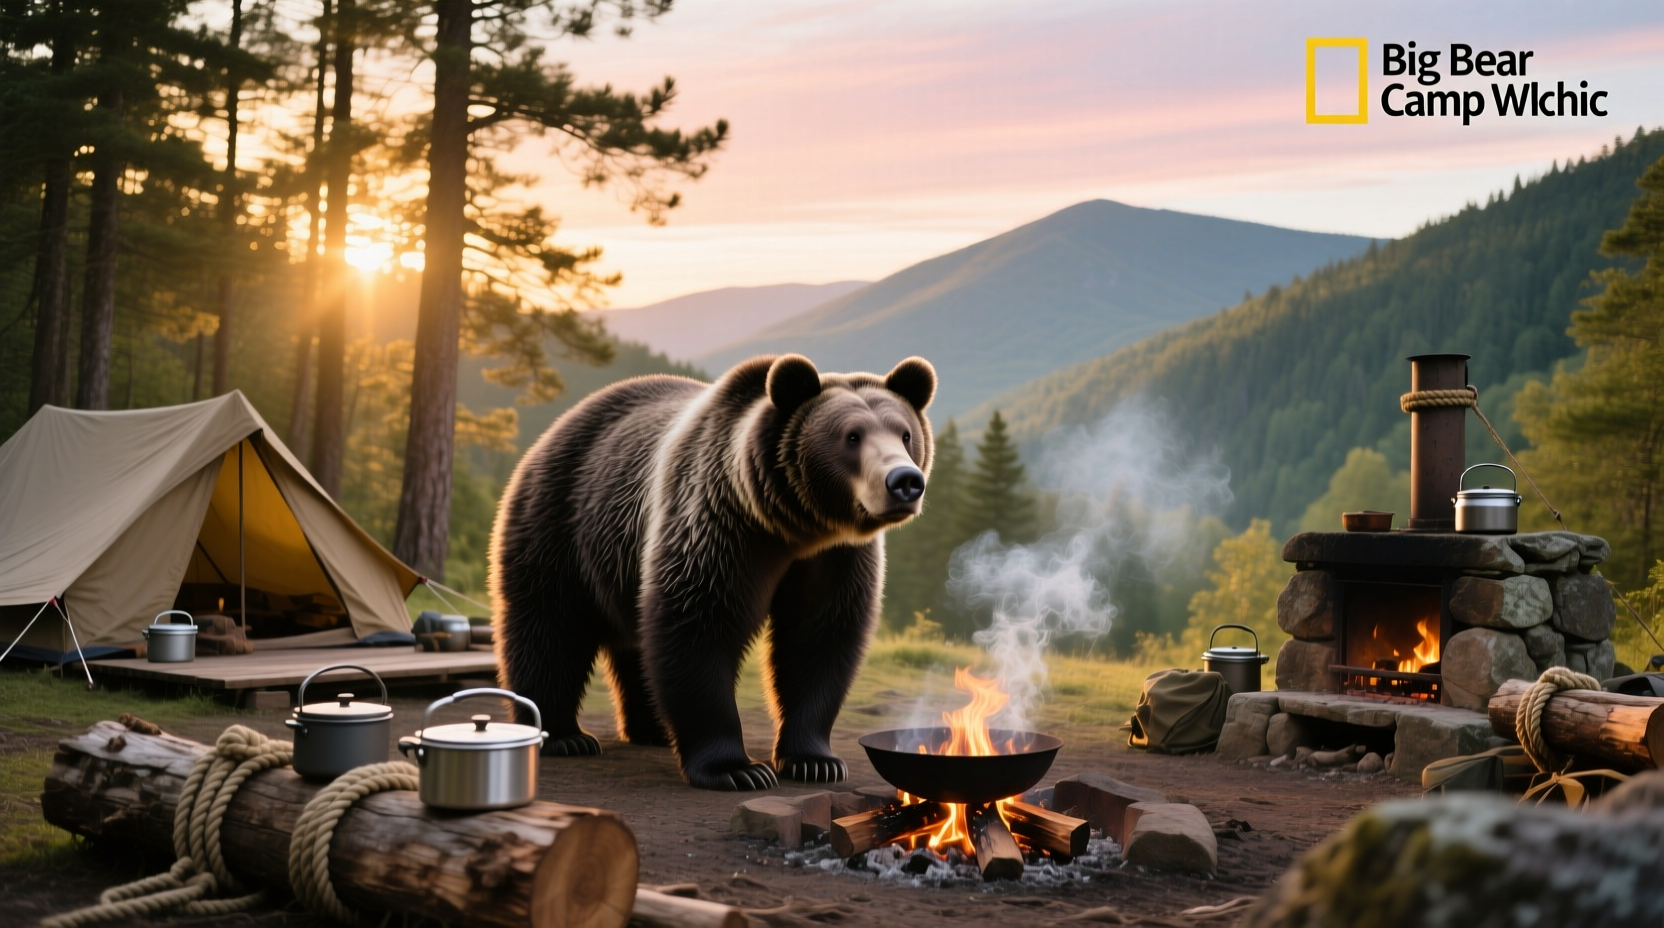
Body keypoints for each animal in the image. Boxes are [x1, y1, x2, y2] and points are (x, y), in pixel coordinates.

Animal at [489, 354, 936, 790]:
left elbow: (818, 639)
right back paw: (564, 736)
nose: (904, 481)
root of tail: (561, 423)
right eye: (851, 436)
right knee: (550, 624)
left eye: (905, 434)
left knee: (633, 641)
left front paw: (814, 761)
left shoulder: (836, 558)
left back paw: (651, 729)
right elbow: (699, 625)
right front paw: (738, 769)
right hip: (561, 518)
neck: (794, 528)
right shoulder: (718, 523)